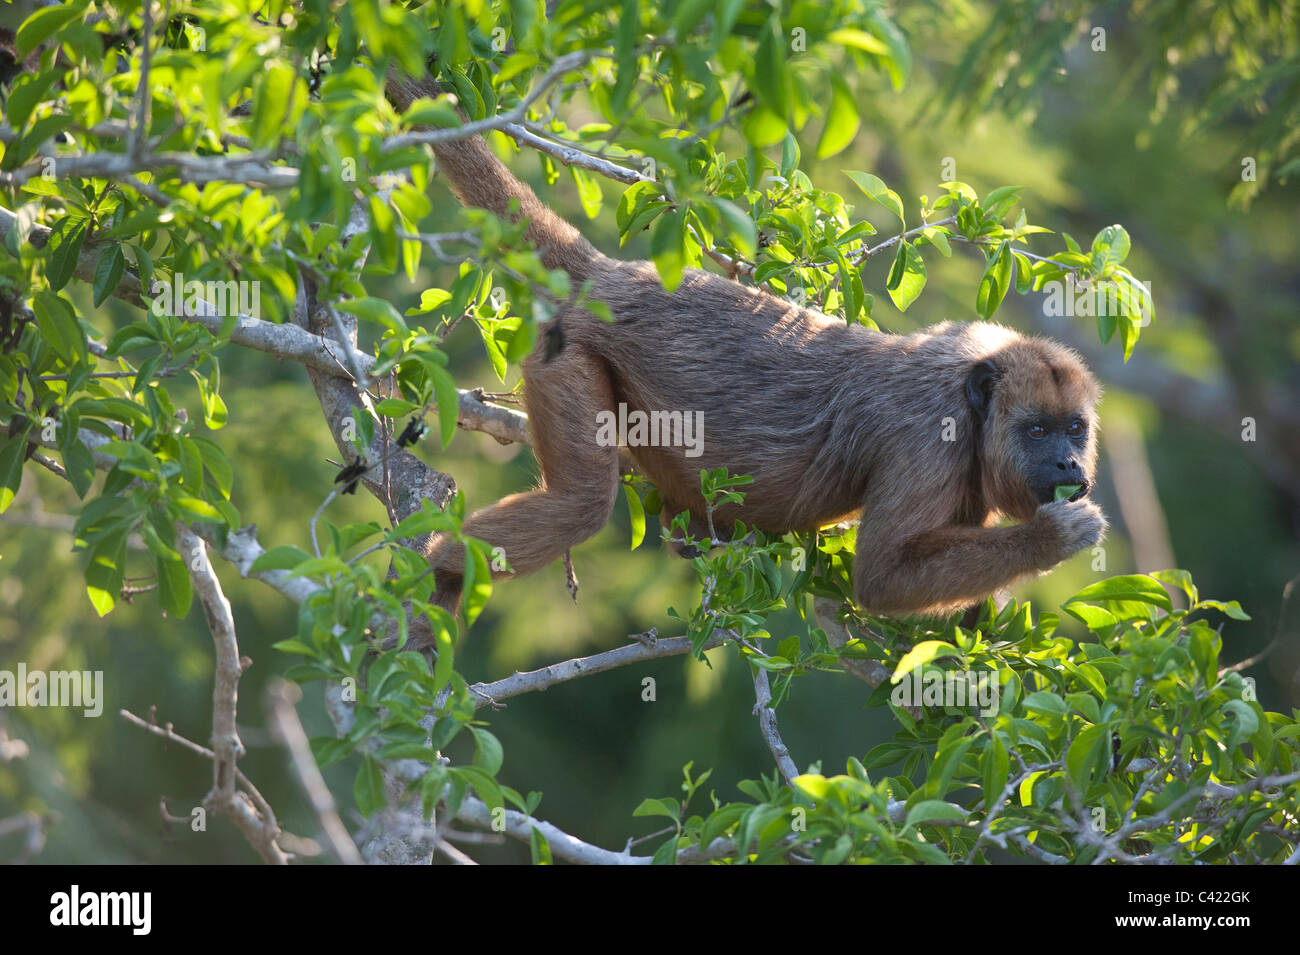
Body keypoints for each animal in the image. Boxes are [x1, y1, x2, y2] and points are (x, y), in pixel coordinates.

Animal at [384, 71, 1106, 629]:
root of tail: (611, 276)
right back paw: (443, 571)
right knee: (580, 503)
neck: (974, 397)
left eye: (1074, 428)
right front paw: (1049, 538)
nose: (1069, 463)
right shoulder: (930, 438)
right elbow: (881, 576)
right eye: (1036, 430)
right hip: (568, 354)